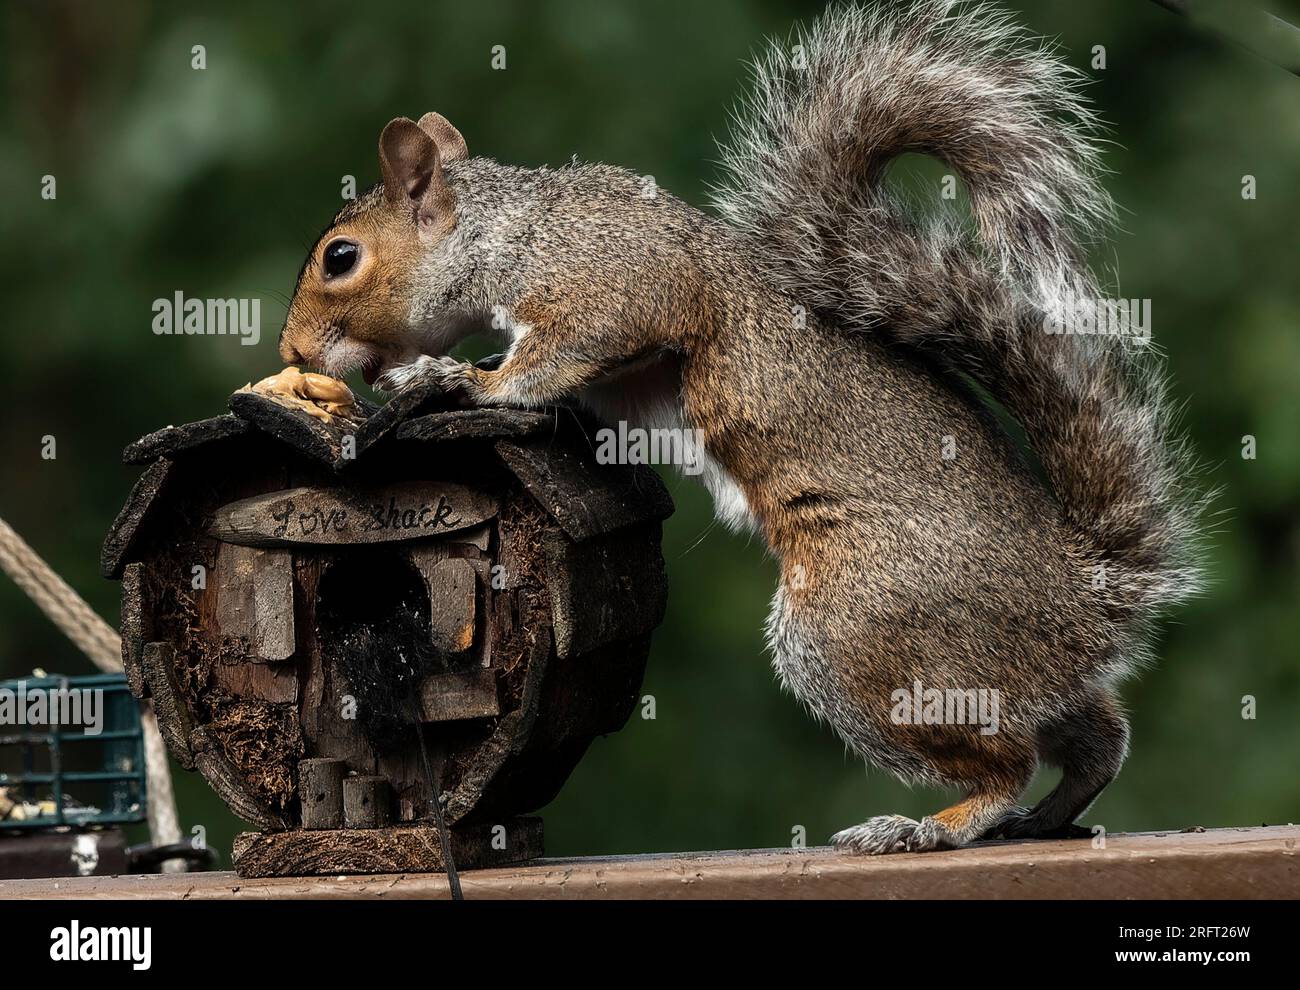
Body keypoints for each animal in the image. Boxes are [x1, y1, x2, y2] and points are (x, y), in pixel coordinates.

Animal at [278, 1, 1206, 854]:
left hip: (860, 632)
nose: (291, 350)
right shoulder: (634, 379)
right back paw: (1047, 812)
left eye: (339, 258)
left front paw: (456, 377)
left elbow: (550, 358)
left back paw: (931, 825)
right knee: (1096, 736)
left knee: (1005, 760)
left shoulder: (613, 283)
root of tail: (1091, 598)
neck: (509, 231)